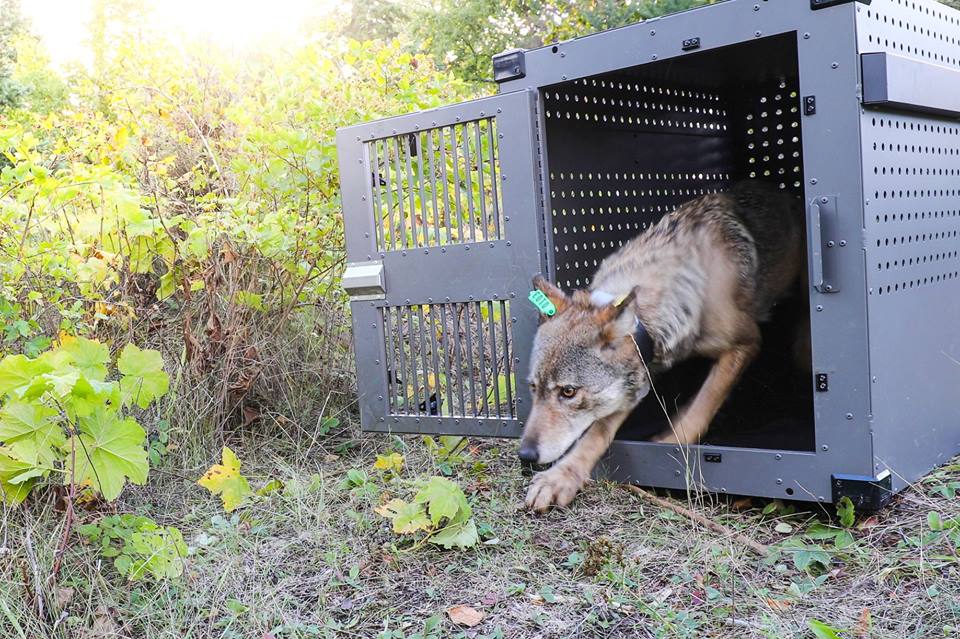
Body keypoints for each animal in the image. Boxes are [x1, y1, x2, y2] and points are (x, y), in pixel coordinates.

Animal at [520, 181, 804, 512]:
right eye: (533, 388)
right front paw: (560, 477)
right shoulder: (639, 374)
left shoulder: (746, 341)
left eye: (568, 392)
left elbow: (703, 403)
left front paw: (670, 443)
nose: (525, 455)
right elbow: (597, 432)